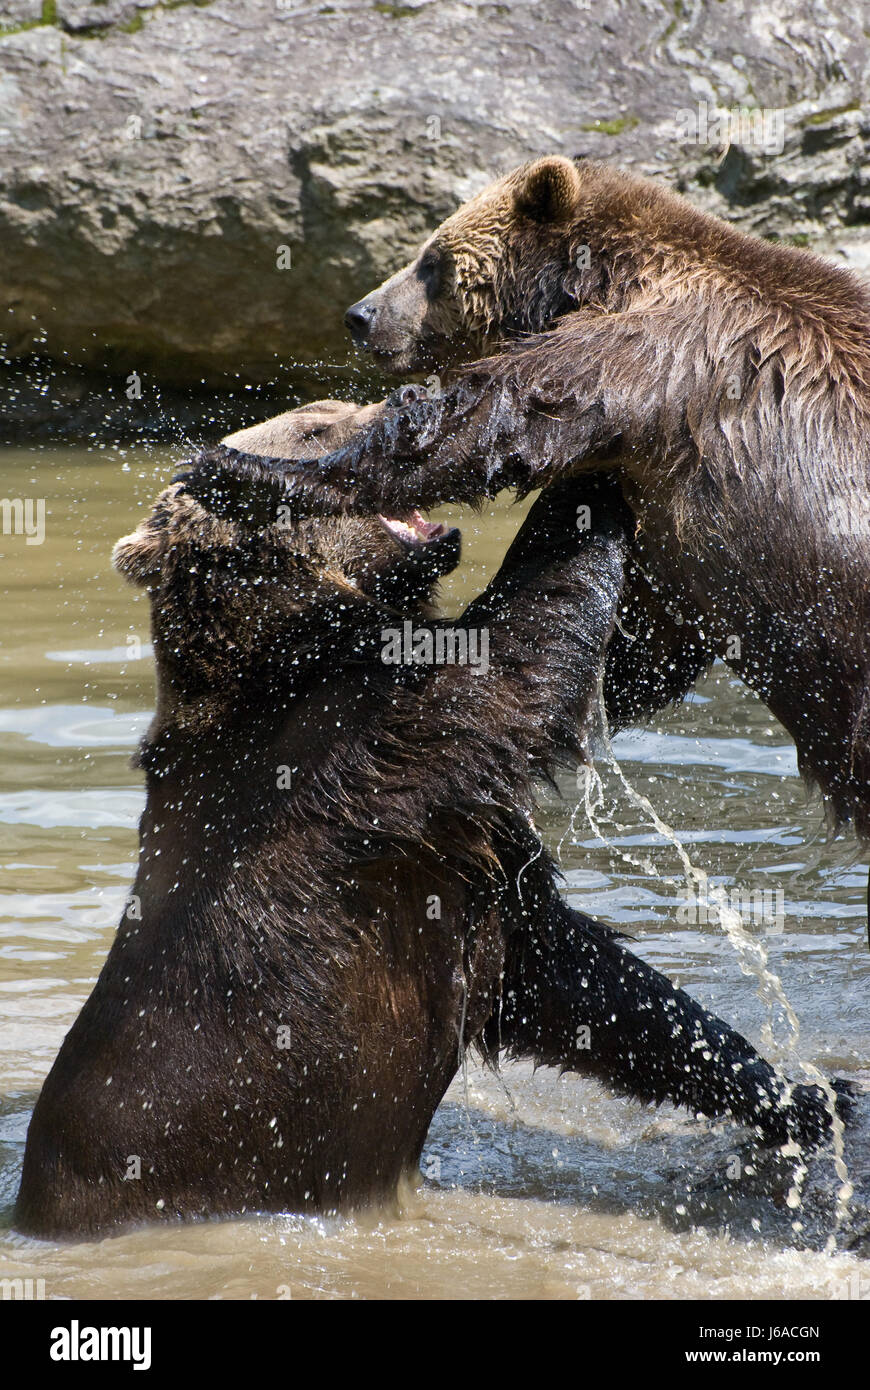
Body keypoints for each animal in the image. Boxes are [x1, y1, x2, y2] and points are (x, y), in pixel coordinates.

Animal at [14, 400, 847, 1239]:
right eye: (315, 425)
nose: (392, 405)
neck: (289, 645)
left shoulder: (464, 861)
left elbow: (573, 976)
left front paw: (801, 1097)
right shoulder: (362, 756)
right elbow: (507, 669)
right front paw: (585, 485)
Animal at [273, 156, 870, 857]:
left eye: (433, 260)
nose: (360, 314)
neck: (598, 282)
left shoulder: (651, 360)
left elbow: (497, 414)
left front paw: (256, 469)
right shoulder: (668, 531)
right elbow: (634, 642)